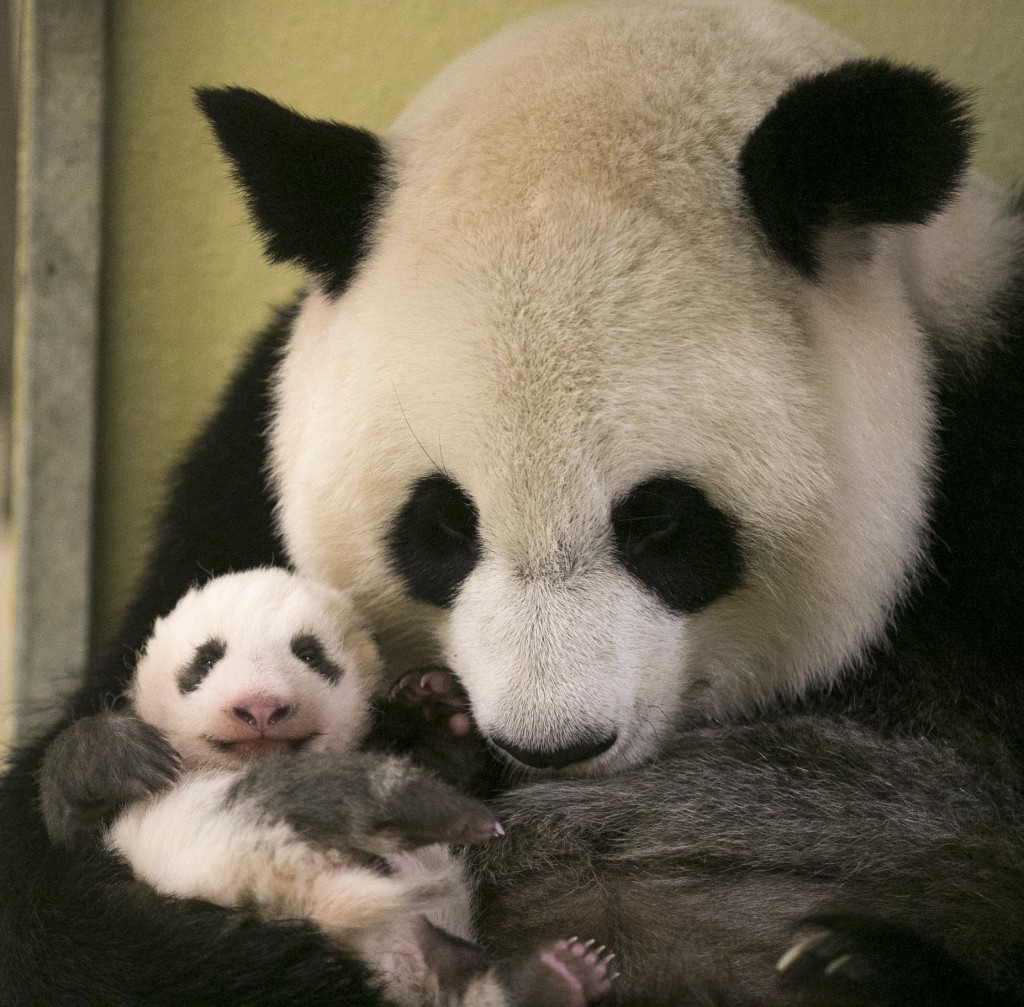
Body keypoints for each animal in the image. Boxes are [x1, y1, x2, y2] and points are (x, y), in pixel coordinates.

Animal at [38, 568, 615, 1007]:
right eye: (206, 659)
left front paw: (435, 704)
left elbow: (440, 758)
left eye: (310, 653)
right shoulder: (116, 830)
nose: (260, 707)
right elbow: (69, 819)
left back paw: (558, 974)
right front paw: (118, 752)